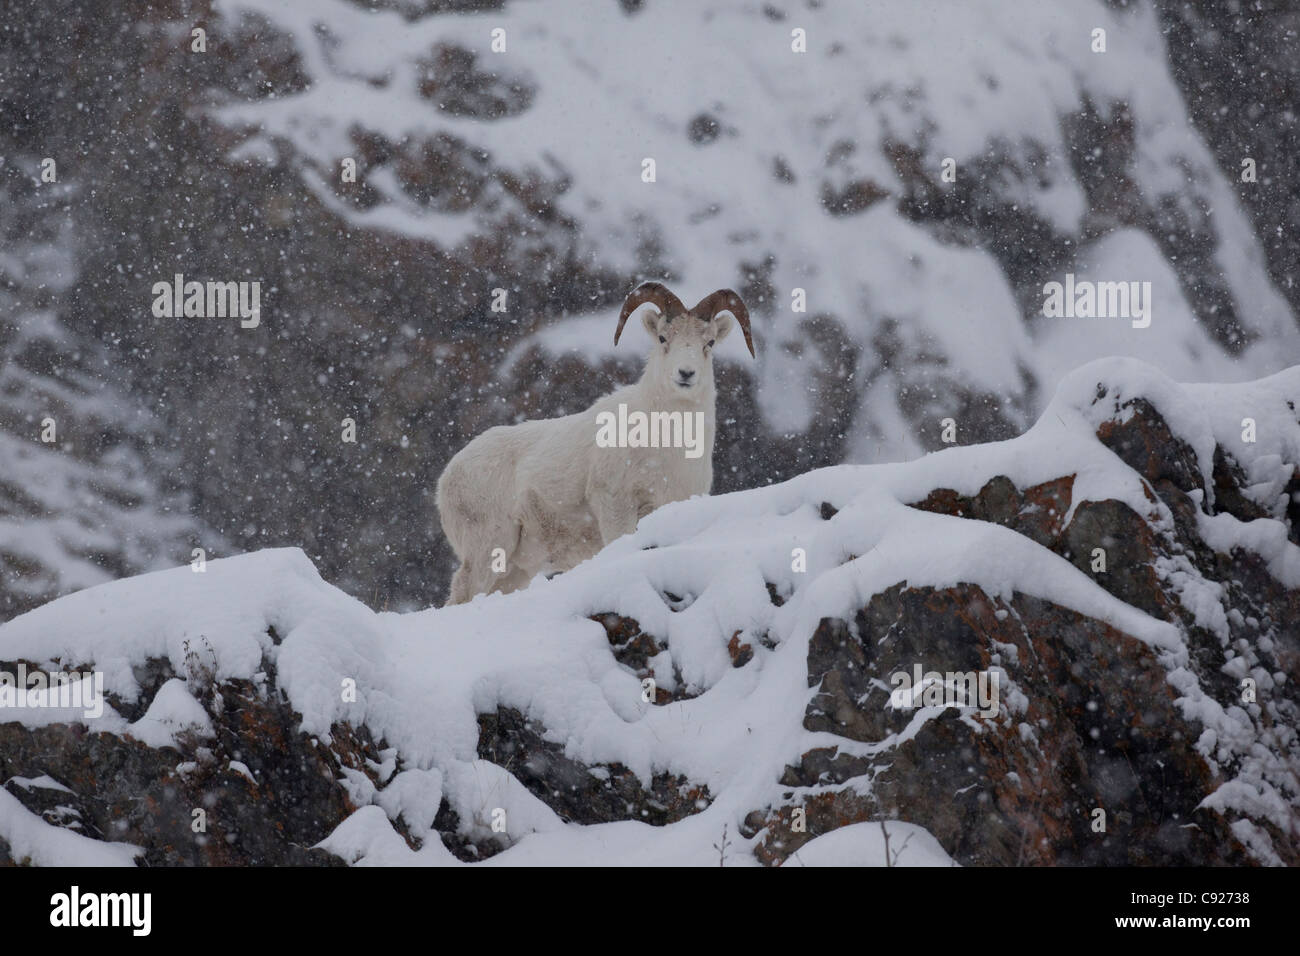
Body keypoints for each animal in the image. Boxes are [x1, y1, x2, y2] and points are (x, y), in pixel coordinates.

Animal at [436, 282, 754, 604]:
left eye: (709, 342)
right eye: (664, 337)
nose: (686, 374)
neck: (668, 445)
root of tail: (447, 478)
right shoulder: (616, 506)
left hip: (515, 570)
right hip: (488, 548)